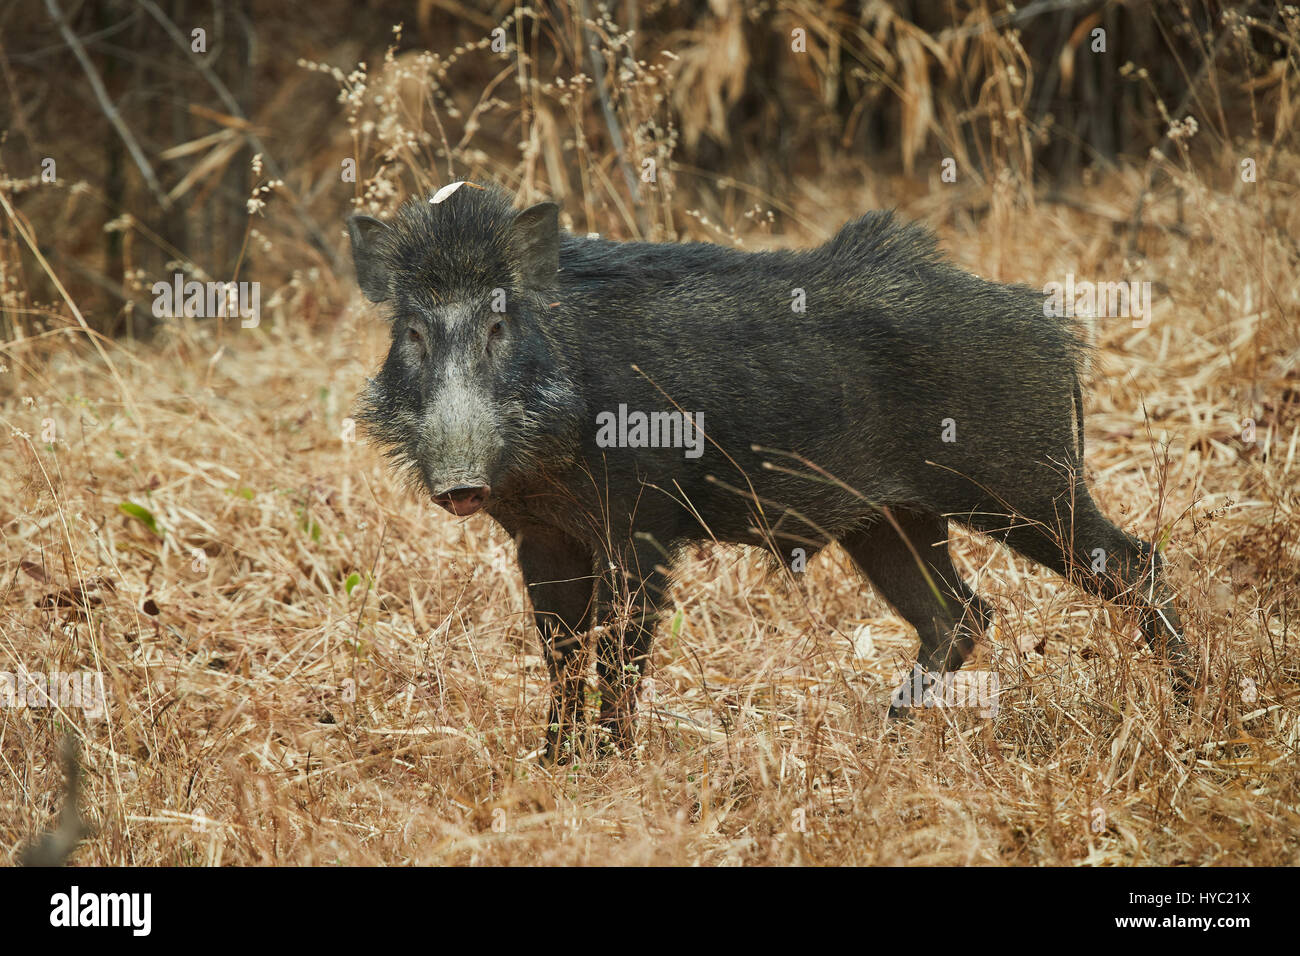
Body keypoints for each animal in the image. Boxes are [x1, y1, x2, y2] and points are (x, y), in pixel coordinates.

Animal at [347, 182, 1190, 762]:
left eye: (498, 323)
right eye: (413, 331)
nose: (460, 484)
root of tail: (1055, 328)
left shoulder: (641, 528)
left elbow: (619, 655)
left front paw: (610, 766)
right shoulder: (542, 536)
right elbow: (561, 651)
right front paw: (552, 765)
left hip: (1026, 484)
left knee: (1137, 564)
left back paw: (1186, 713)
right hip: (891, 520)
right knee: (960, 614)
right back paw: (882, 738)